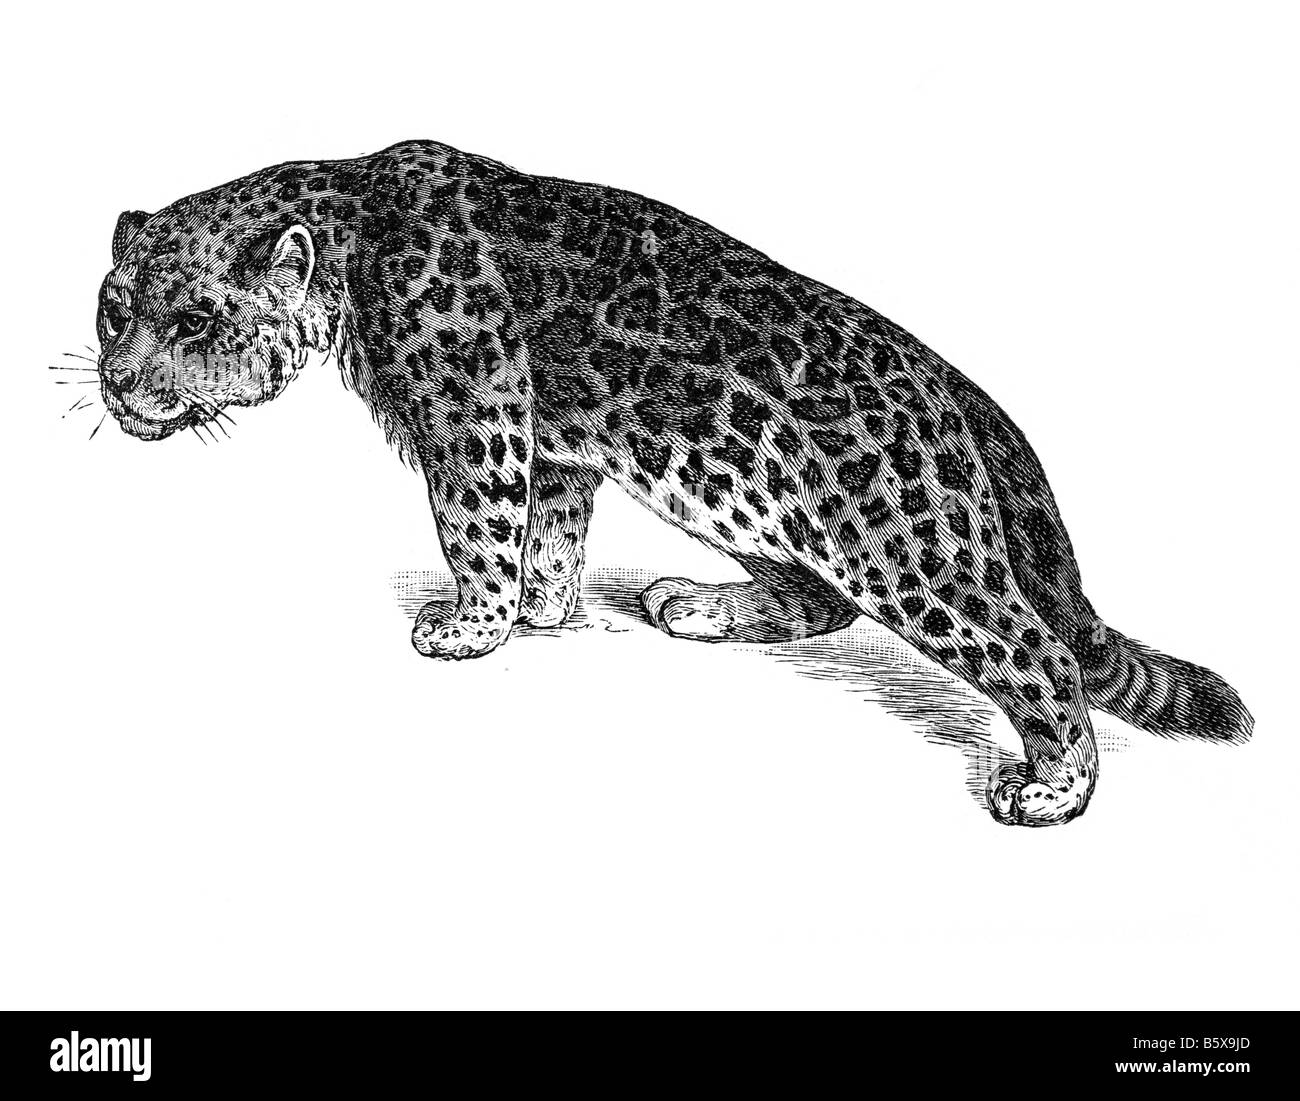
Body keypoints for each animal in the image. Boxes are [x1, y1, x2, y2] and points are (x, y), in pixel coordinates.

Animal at [91, 139, 1252, 826]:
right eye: (114, 310)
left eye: (191, 323)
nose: (116, 381)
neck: (346, 239)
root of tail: (966, 401)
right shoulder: (555, 440)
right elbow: (548, 525)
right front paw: (541, 608)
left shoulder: (475, 404)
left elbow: (475, 518)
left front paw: (471, 625)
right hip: (741, 493)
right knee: (822, 603)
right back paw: (694, 603)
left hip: (902, 543)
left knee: (1033, 648)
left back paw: (1050, 787)